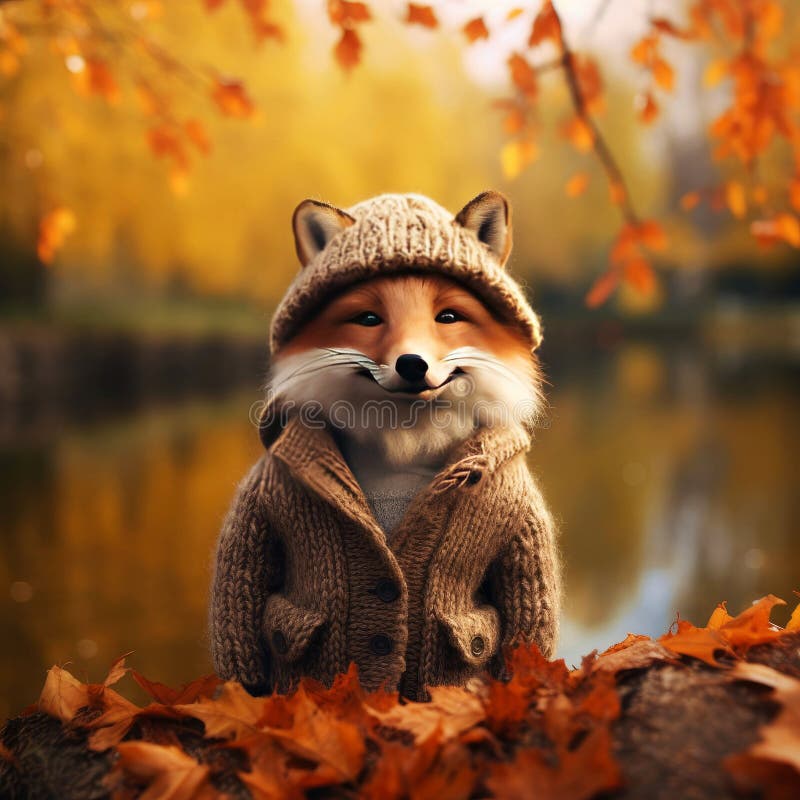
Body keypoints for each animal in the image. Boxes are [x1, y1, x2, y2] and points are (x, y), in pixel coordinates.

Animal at [210, 191, 561, 700]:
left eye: (448, 317)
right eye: (369, 319)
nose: (412, 363)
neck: (402, 444)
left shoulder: (518, 513)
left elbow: (527, 616)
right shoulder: (264, 493)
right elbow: (242, 575)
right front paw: (244, 691)